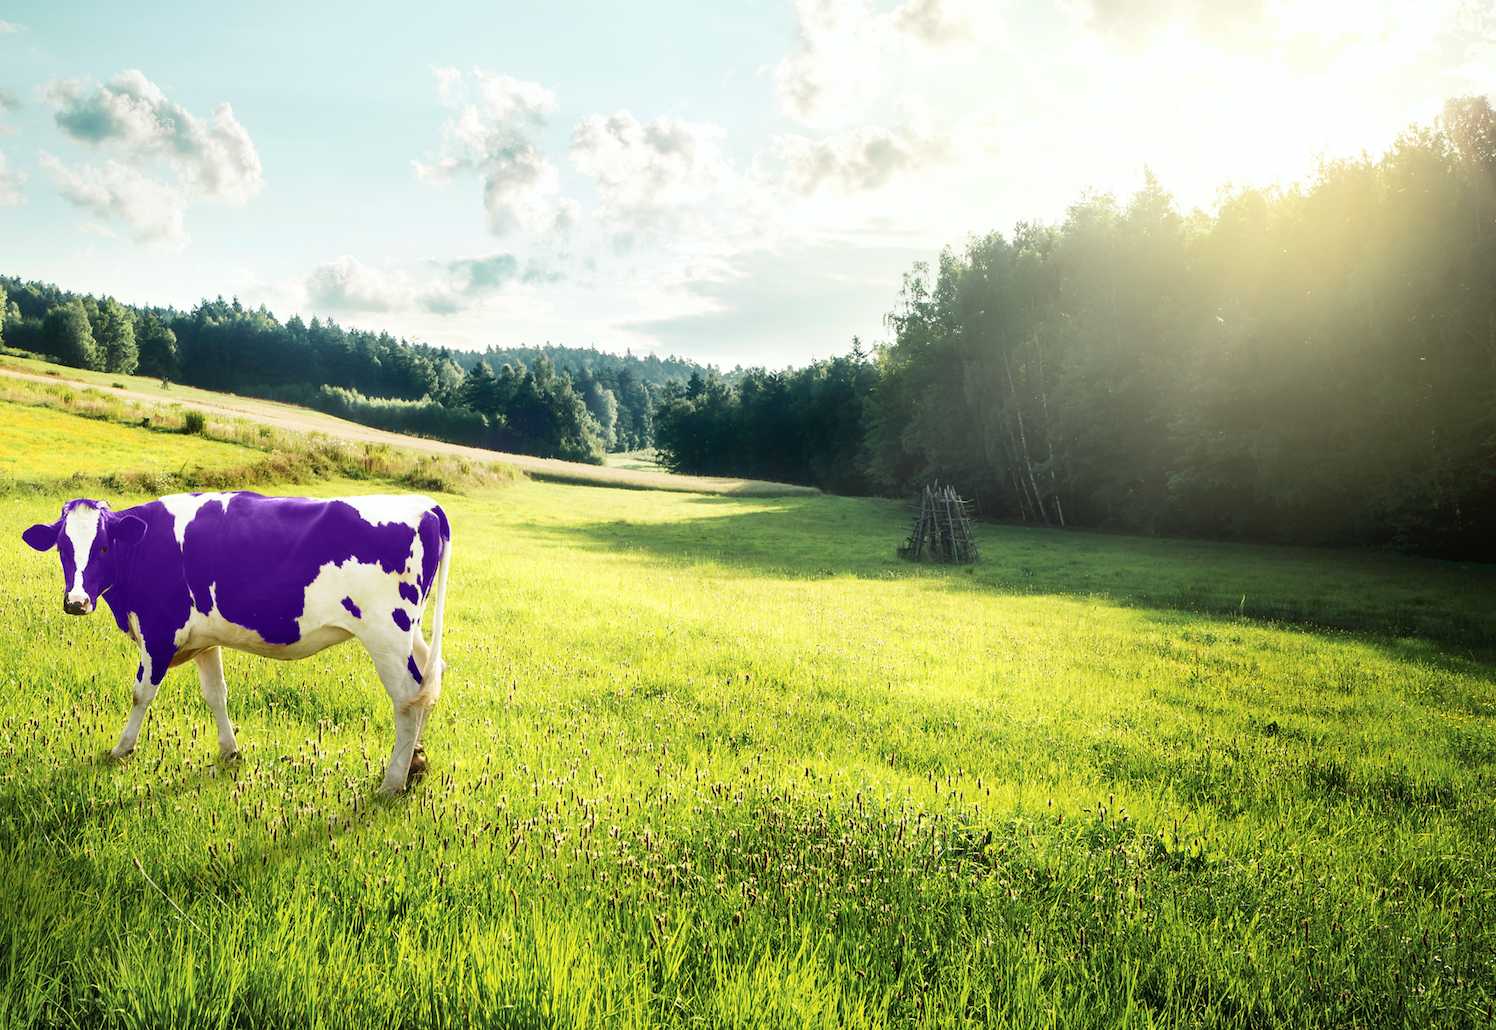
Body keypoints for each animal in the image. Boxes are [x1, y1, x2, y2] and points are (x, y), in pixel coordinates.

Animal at [21, 491, 452, 795]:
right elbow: (216, 693)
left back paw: (393, 780)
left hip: (386, 634)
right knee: (429, 682)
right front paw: (230, 751)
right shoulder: (204, 639)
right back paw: (416, 762)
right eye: (63, 547)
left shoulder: (159, 632)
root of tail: (423, 505)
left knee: (408, 699)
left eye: (103, 546)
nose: (76, 602)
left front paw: (121, 749)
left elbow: (140, 694)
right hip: (410, 634)